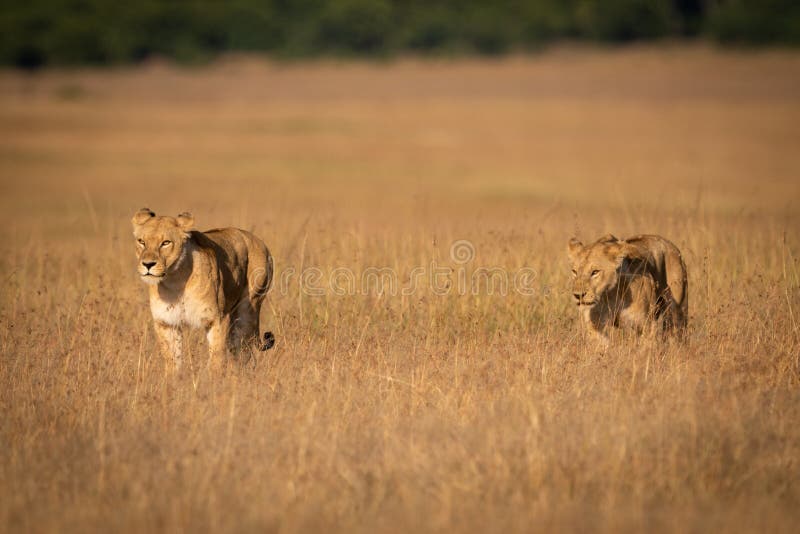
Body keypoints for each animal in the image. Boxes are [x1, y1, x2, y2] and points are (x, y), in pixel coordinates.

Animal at [132, 208, 275, 372]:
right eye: (141, 242)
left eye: (165, 243)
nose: (148, 264)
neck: (175, 281)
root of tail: (258, 240)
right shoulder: (166, 323)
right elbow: (173, 362)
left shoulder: (216, 319)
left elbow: (216, 359)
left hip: (248, 308)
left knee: (241, 351)